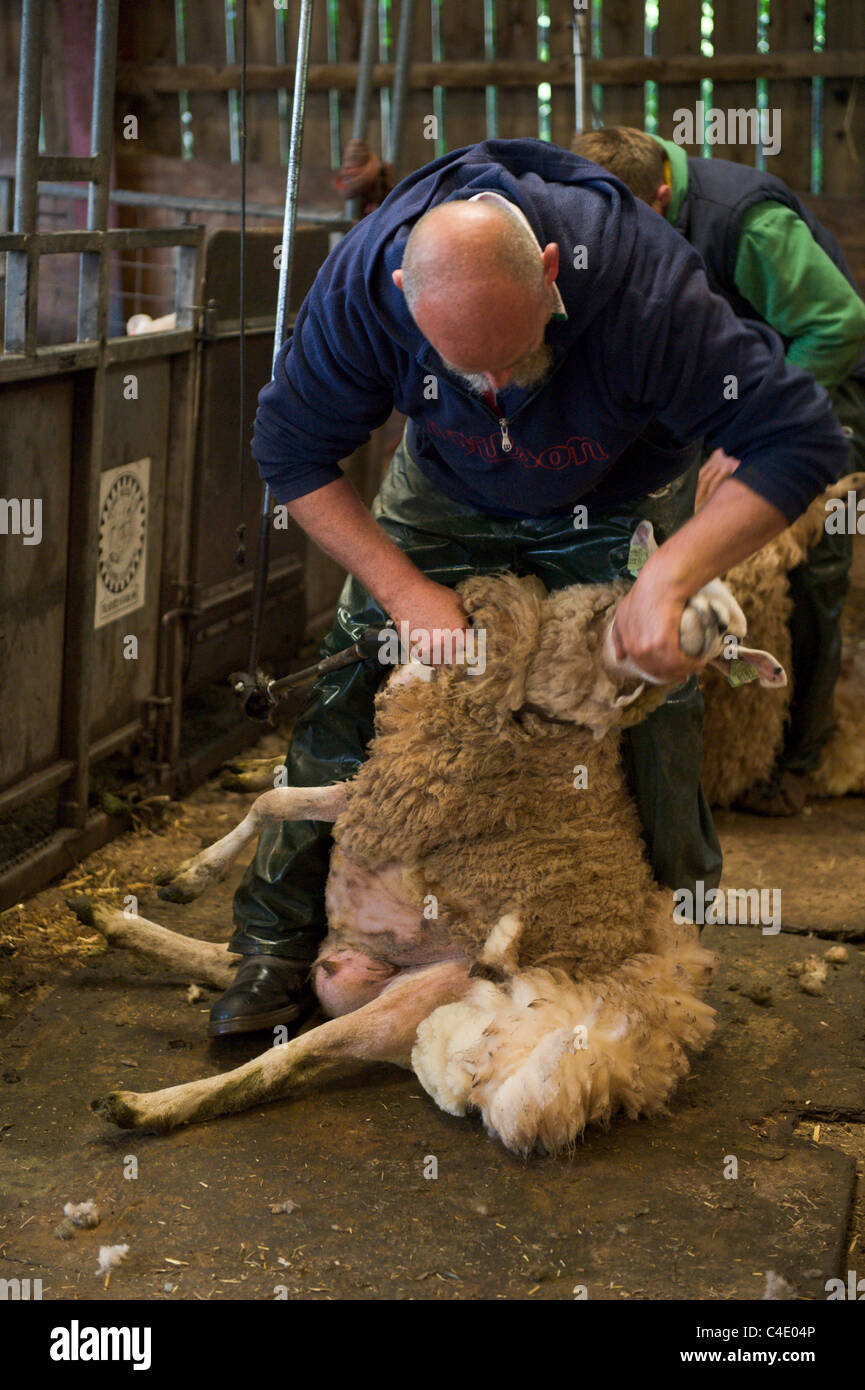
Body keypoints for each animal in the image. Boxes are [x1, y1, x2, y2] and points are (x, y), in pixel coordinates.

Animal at [70, 533, 784, 1155]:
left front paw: (195, 871)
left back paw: (143, 1105)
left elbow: (275, 802)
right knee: (240, 965)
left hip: (409, 1000)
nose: (632, 685)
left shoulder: (395, 797)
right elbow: (275, 796)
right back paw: (110, 919)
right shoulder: (381, 777)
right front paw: (196, 862)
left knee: (287, 1059)